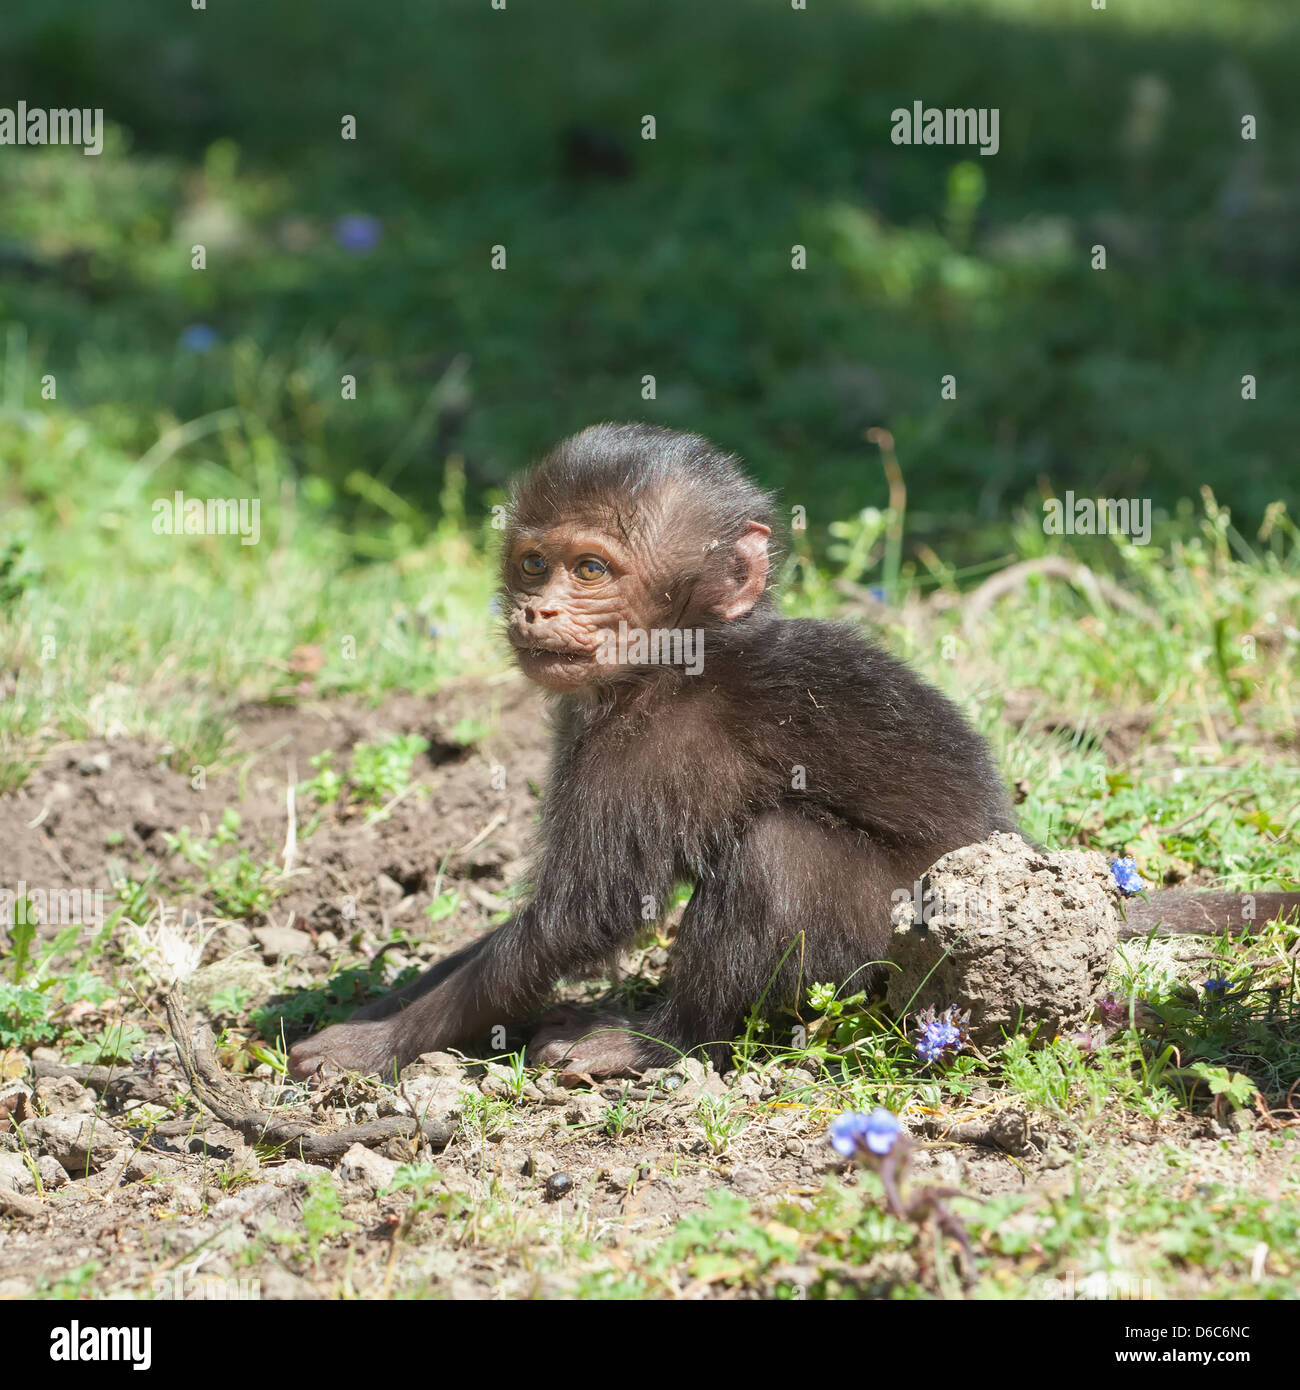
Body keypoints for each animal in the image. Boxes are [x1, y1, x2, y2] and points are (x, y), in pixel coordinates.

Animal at [288, 423, 1300, 1082]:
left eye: (591, 570)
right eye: (534, 563)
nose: (536, 610)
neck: (683, 653)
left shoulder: (648, 745)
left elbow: (577, 920)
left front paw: (380, 1044)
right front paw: (375, 1006)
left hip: (908, 955)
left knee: (779, 853)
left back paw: (659, 1042)